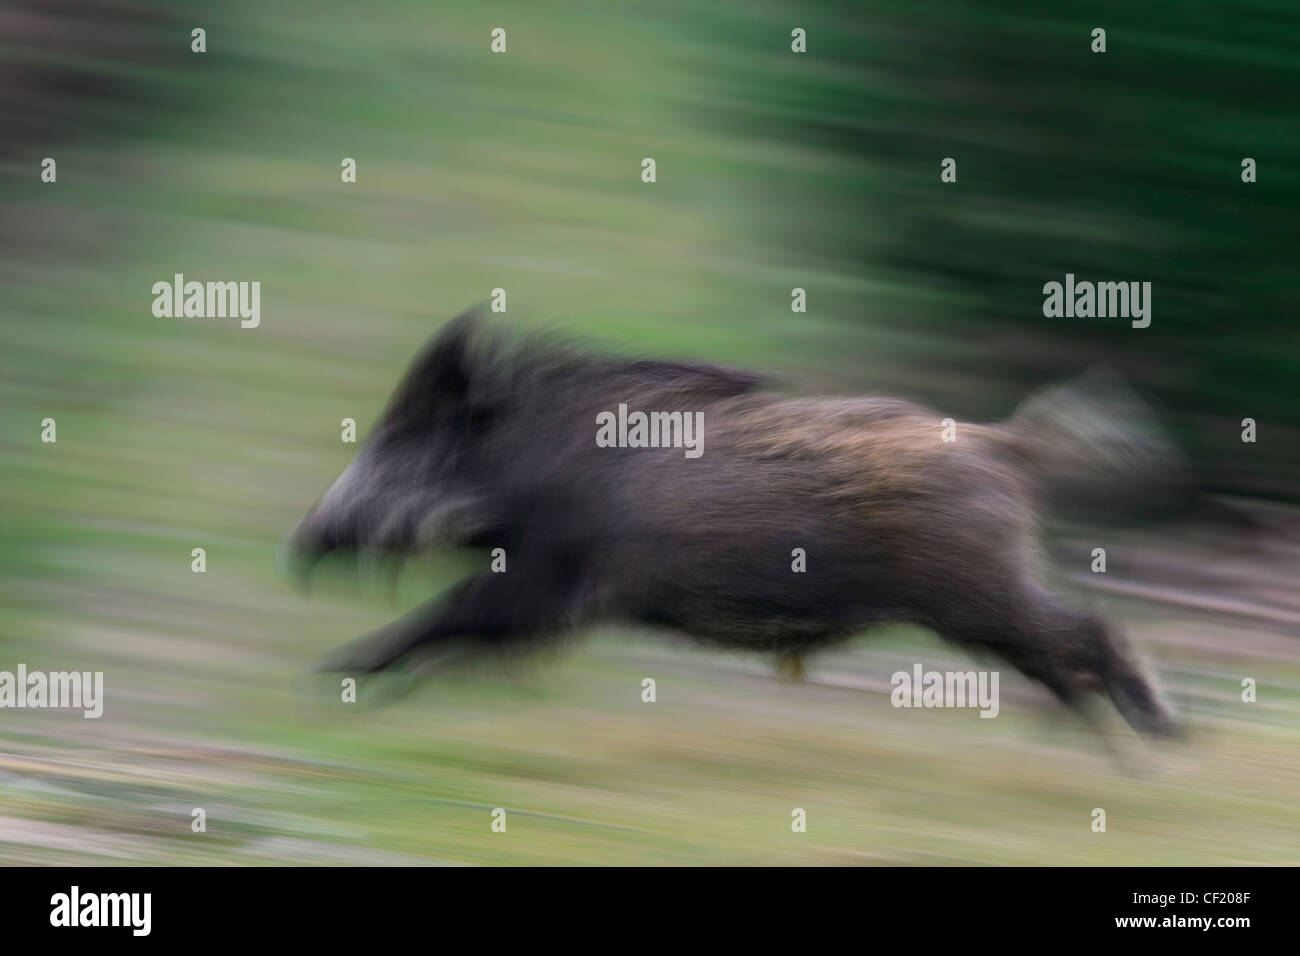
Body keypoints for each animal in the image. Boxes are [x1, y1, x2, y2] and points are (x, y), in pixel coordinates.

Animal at [280, 308, 1182, 739]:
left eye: (402, 443)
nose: (301, 543)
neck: (523, 469)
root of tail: (1012, 443)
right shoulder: (545, 605)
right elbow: (461, 638)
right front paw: (366, 686)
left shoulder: (548, 586)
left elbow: (447, 617)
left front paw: (336, 675)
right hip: (986, 597)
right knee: (1067, 657)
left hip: (979, 593)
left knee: (1087, 635)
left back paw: (1160, 742)